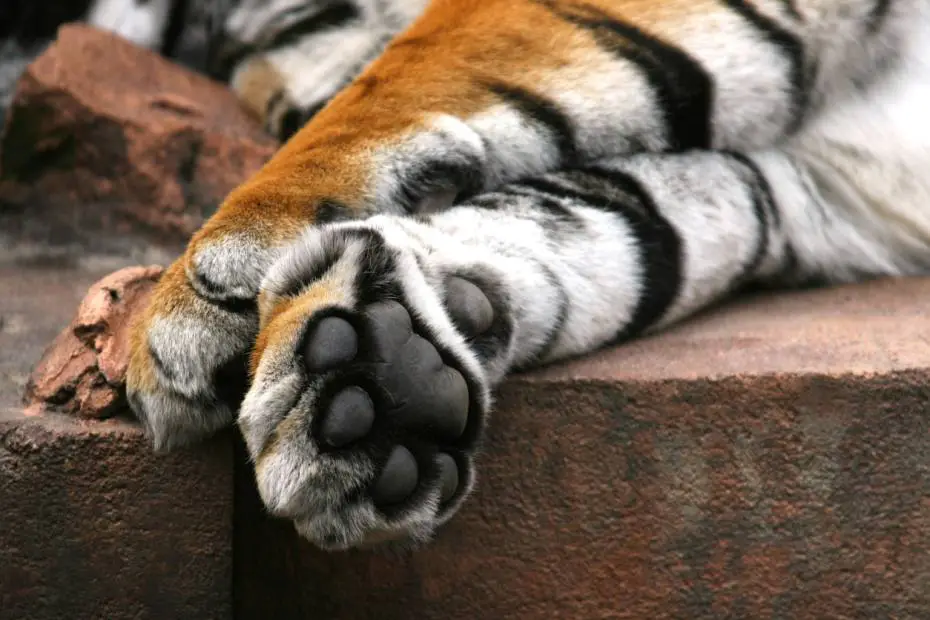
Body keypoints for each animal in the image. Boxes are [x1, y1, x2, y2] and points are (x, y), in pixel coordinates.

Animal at [10, 0, 929, 552]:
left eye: (297, 21)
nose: (276, 100)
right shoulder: (794, 184)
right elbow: (615, 228)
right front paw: (378, 373)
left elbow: (386, 88)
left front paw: (194, 294)